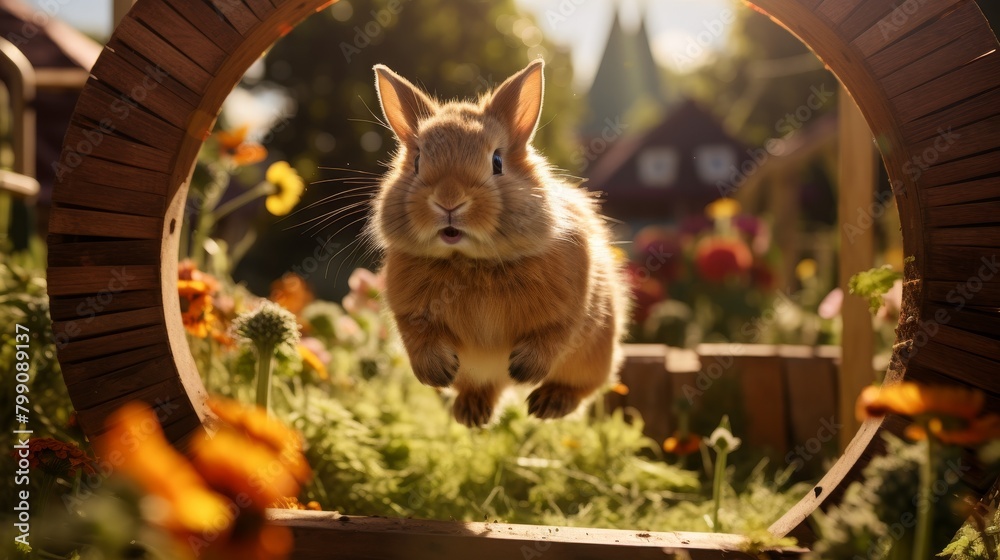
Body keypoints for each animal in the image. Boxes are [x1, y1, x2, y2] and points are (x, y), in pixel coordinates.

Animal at [369, 59, 630, 427]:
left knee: (582, 386)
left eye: (496, 162)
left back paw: (547, 404)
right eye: (418, 161)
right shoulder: (410, 314)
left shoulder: (569, 310)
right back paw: (471, 413)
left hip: (596, 354)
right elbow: (418, 339)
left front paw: (522, 370)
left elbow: (554, 334)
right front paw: (440, 373)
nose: (449, 200)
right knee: (485, 387)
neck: (470, 261)